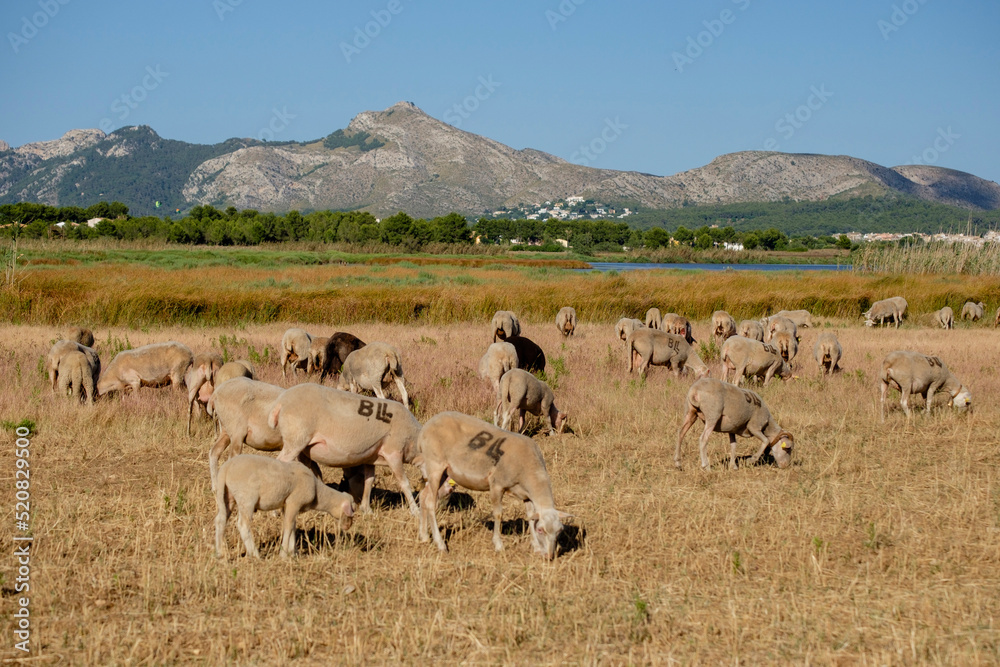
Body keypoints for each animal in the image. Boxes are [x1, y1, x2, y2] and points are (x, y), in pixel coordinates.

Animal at [214, 455, 355, 559]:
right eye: (351, 512)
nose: (348, 526)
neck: (317, 492)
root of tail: (225, 468)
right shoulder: (294, 502)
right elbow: (288, 526)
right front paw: (283, 554)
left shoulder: (286, 506)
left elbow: (292, 526)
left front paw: (293, 552)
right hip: (247, 498)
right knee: (243, 524)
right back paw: (255, 555)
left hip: (227, 496)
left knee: (220, 520)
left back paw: (221, 553)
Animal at [269, 384, 423, 515]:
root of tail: (281, 402)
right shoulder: (393, 452)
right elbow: (404, 483)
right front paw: (415, 511)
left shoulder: (370, 457)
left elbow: (369, 481)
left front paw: (367, 509)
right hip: (295, 440)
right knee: (280, 463)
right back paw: (274, 511)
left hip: (302, 448)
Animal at [416, 411, 572, 559]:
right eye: (541, 530)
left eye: (559, 531)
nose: (549, 556)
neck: (531, 472)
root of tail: (427, 425)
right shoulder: (497, 485)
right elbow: (498, 514)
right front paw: (499, 545)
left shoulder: (526, 495)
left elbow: (530, 517)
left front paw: (536, 547)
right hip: (434, 465)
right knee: (430, 503)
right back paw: (440, 544)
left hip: (443, 472)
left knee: (423, 496)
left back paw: (424, 537)